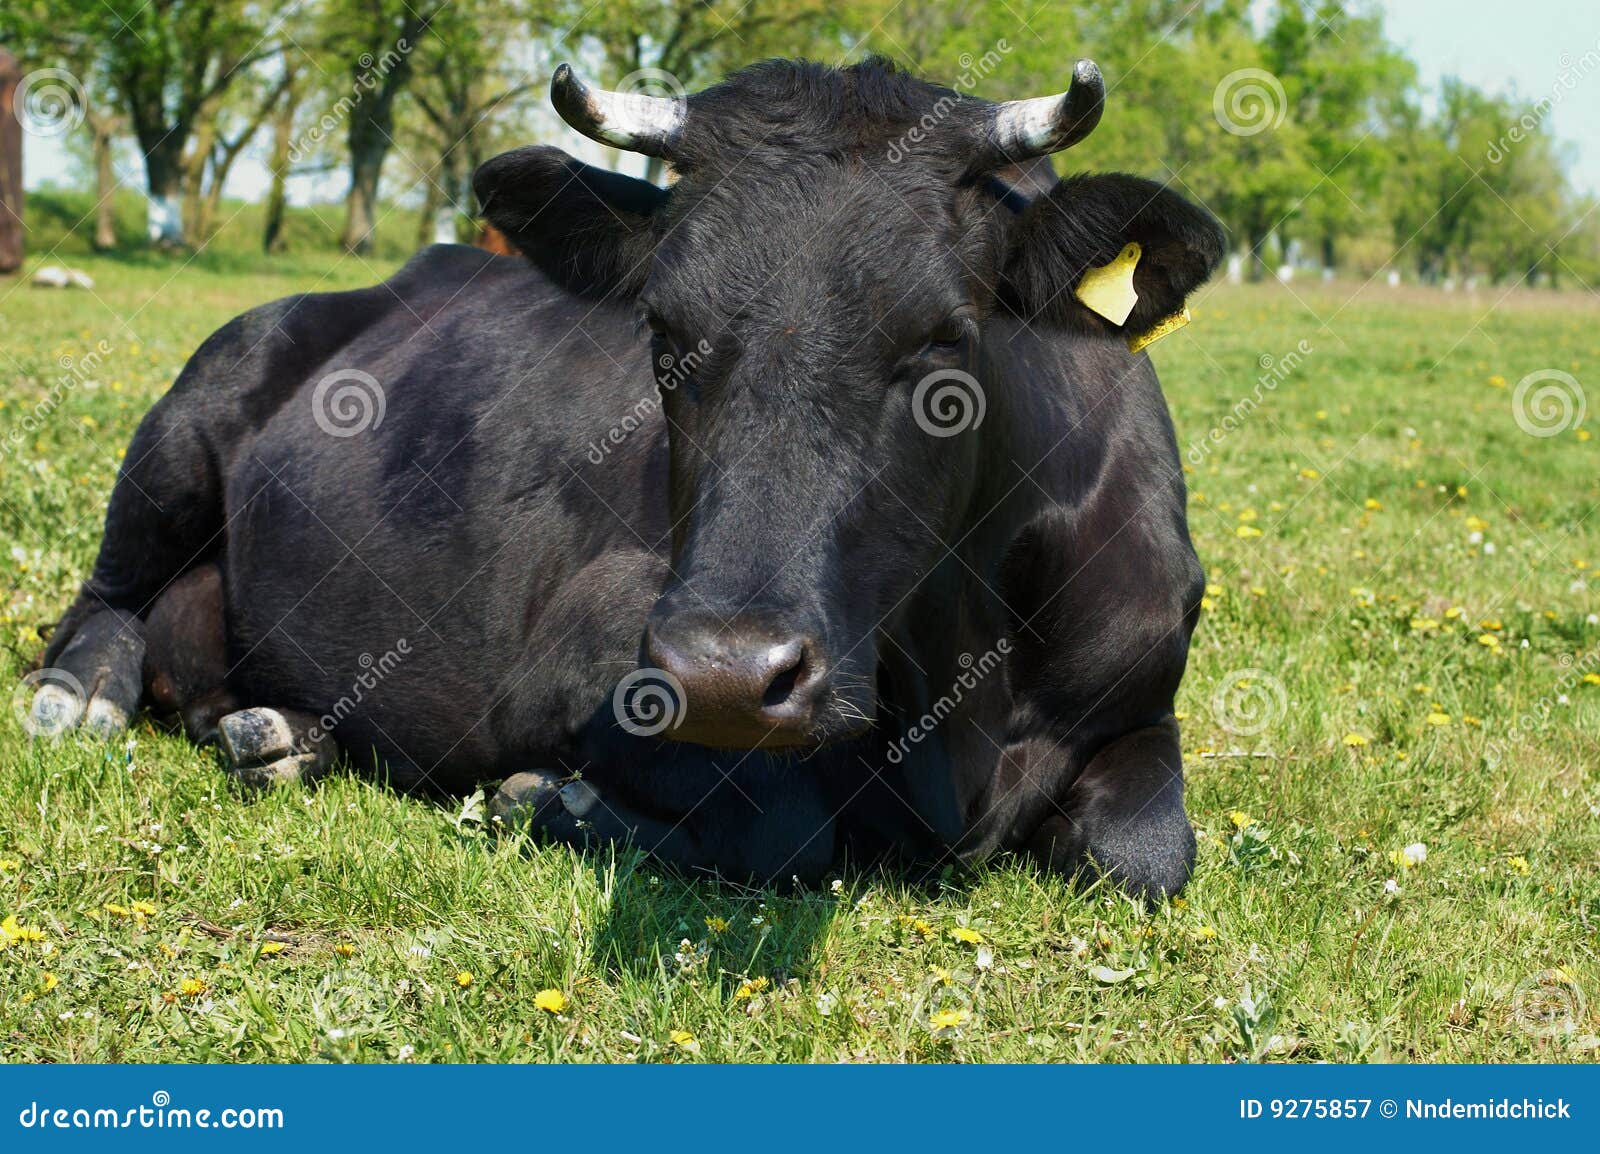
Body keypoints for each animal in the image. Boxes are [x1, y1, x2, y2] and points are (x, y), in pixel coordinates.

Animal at [26, 56, 1224, 900]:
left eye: (944, 341)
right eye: (662, 332)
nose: (725, 674)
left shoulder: (1140, 692)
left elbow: (1145, 852)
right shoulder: (579, 650)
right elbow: (788, 829)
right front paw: (545, 798)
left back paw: (278, 735)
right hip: (200, 404)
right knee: (97, 601)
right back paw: (80, 693)